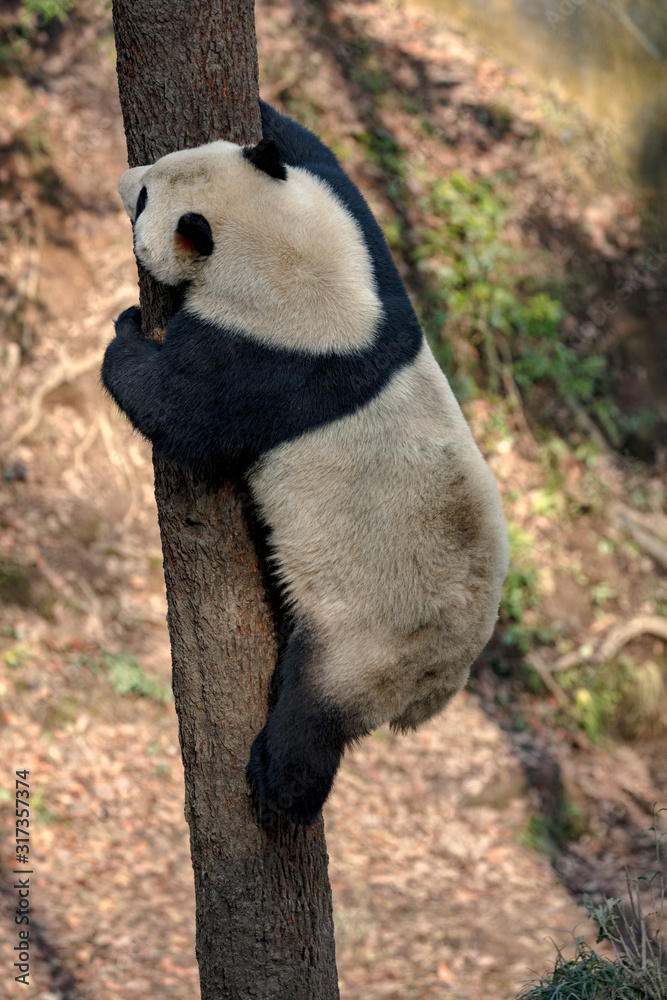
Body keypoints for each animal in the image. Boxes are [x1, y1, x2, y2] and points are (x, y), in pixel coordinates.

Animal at [102, 101, 509, 827]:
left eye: (146, 197)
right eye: (159, 168)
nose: (124, 180)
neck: (279, 251)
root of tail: (447, 676)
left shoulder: (260, 360)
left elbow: (181, 410)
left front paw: (122, 333)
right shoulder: (373, 268)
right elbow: (321, 156)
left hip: (375, 638)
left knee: (317, 712)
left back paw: (280, 791)